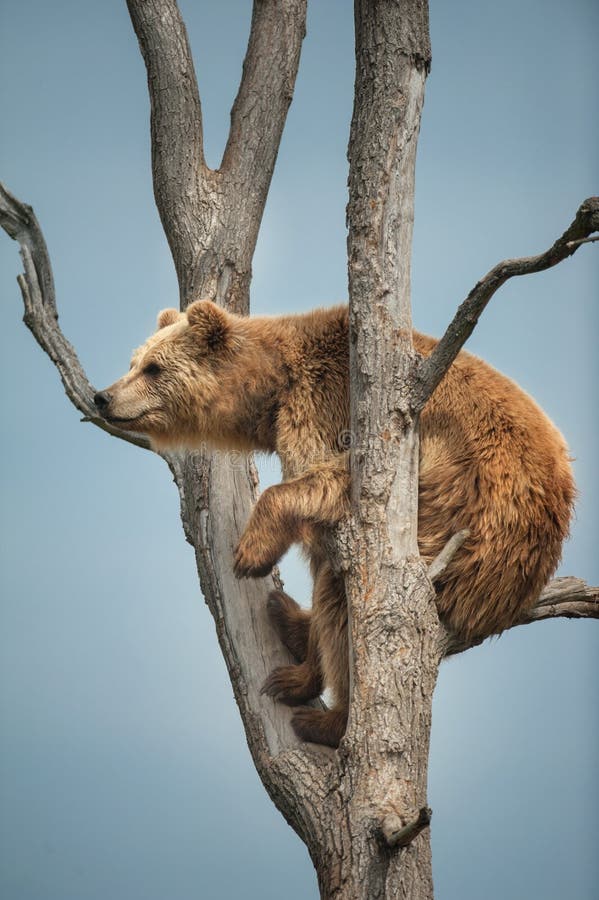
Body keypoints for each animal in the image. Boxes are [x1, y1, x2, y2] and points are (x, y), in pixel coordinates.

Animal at [94, 300, 575, 748]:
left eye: (153, 368)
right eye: (135, 360)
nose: (104, 396)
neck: (270, 392)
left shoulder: (331, 406)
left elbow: (334, 481)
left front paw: (251, 554)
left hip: (454, 532)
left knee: (341, 597)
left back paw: (322, 712)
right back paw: (290, 619)